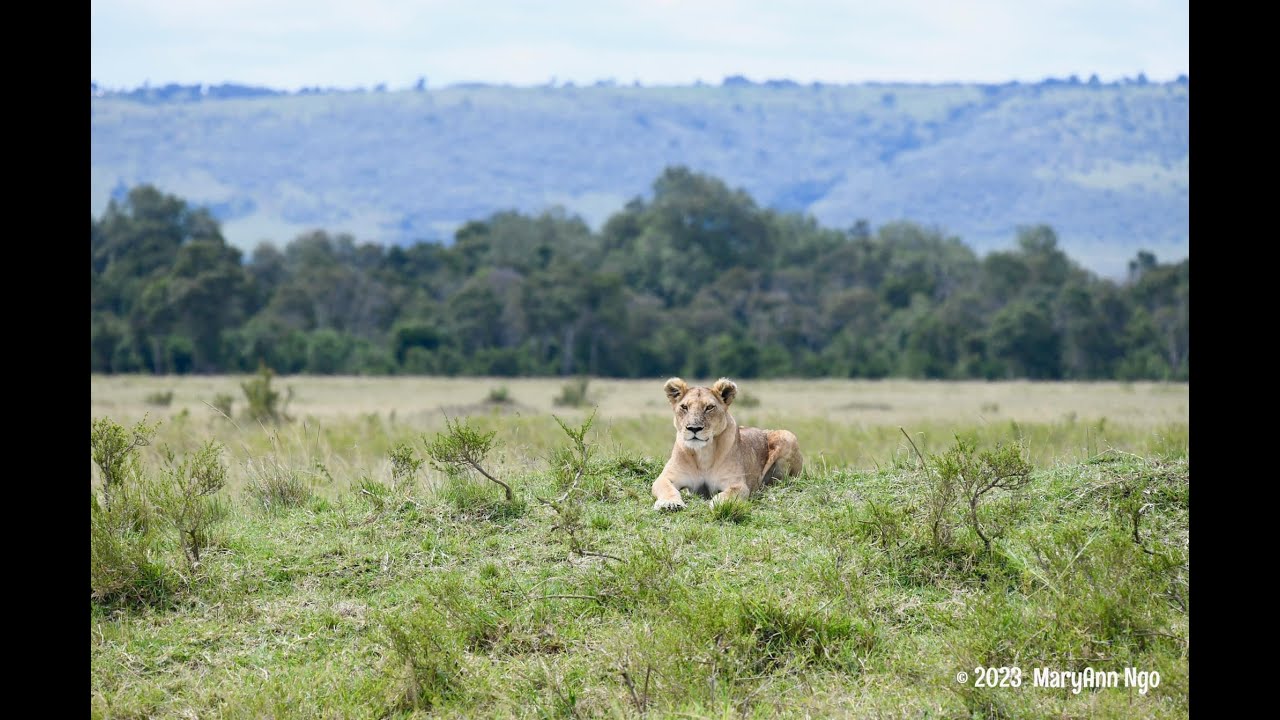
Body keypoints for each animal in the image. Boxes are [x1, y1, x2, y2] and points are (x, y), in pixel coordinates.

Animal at [651, 377, 803, 510]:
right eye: (684, 407)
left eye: (709, 407)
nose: (694, 428)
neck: (703, 453)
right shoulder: (666, 477)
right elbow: (667, 488)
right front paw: (669, 503)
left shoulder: (738, 484)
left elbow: (726, 495)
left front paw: (717, 504)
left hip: (788, 436)